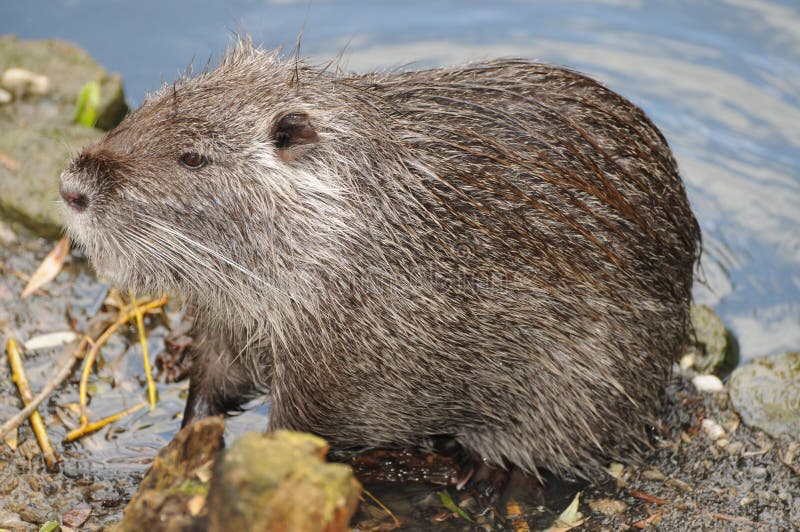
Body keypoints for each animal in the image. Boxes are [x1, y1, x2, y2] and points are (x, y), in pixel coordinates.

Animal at [59, 40, 700, 480]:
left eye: (193, 156)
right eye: (146, 106)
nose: (72, 188)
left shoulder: (346, 358)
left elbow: (303, 425)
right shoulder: (231, 318)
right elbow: (210, 379)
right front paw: (170, 445)